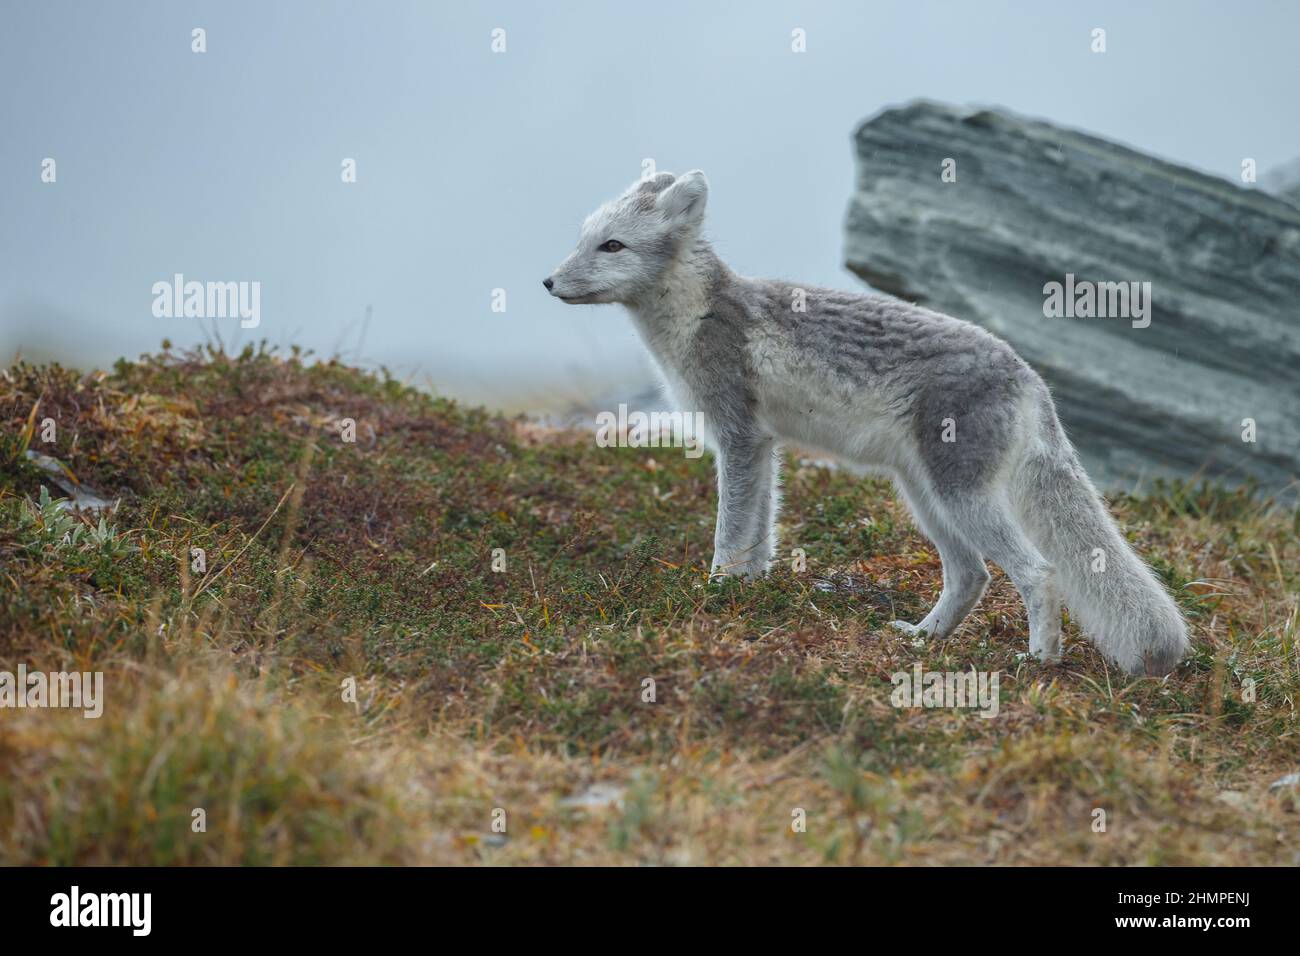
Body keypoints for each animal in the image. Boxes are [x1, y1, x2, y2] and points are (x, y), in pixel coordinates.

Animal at [544, 170, 1189, 676]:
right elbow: (761, 534)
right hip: (925, 496)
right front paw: (749, 593)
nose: (547, 281)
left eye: (612, 245)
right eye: (582, 240)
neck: (695, 315)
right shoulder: (763, 444)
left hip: (960, 496)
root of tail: (1030, 375)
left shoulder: (738, 437)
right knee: (972, 576)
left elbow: (730, 533)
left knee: (1038, 571)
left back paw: (1039, 660)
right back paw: (925, 639)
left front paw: (714, 591)